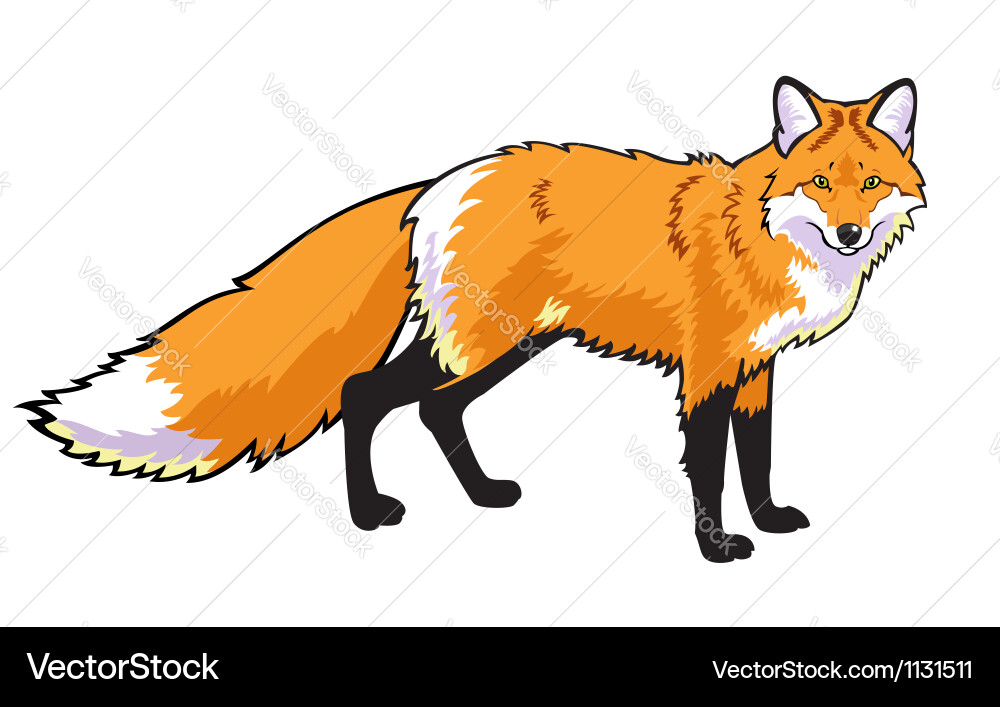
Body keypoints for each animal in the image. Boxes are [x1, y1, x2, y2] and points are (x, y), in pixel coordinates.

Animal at [22, 77, 924, 562]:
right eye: (822, 182)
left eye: (872, 184)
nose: (850, 232)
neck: (769, 238)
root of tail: (441, 181)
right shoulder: (706, 367)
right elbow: (707, 468)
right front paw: (718, 548)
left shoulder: (756, 365)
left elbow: (758, 455)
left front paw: (768, 520)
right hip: (482, 343)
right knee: (364, 392)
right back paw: (368, 513)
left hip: (503, 345)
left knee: (431, 408)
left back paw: (485, 494)